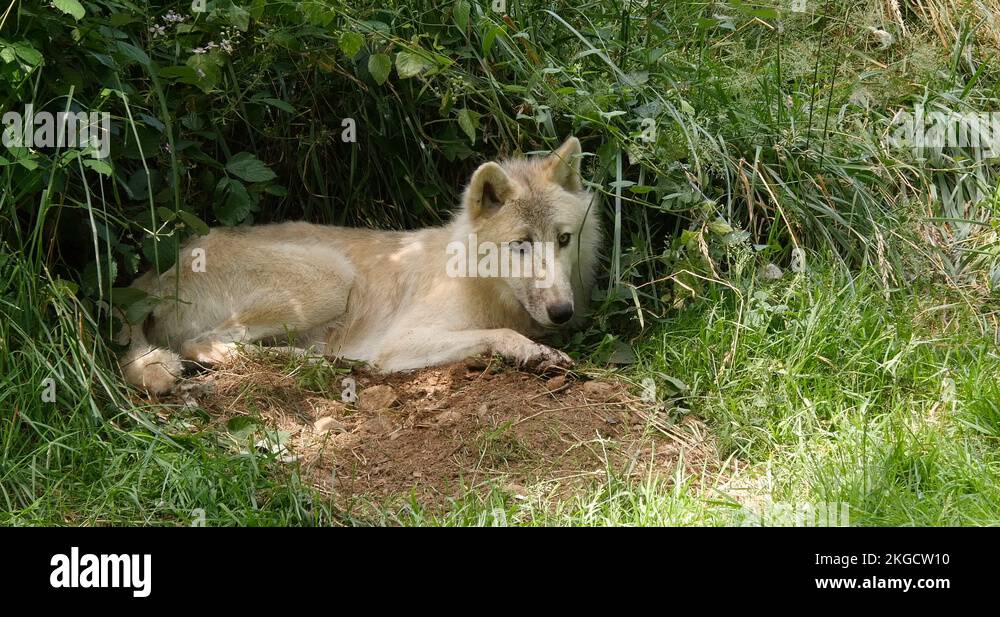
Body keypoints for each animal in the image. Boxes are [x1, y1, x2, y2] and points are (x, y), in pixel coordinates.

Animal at [119, 136, 602, 394]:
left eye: (563, 240)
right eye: (520, 245)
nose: (564, 313)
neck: (476, 280)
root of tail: (150, 278)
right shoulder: (400, 343)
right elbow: (499, 334)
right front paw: (537, 353)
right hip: (331, 279)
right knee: (201, 344)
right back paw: (317, 362)